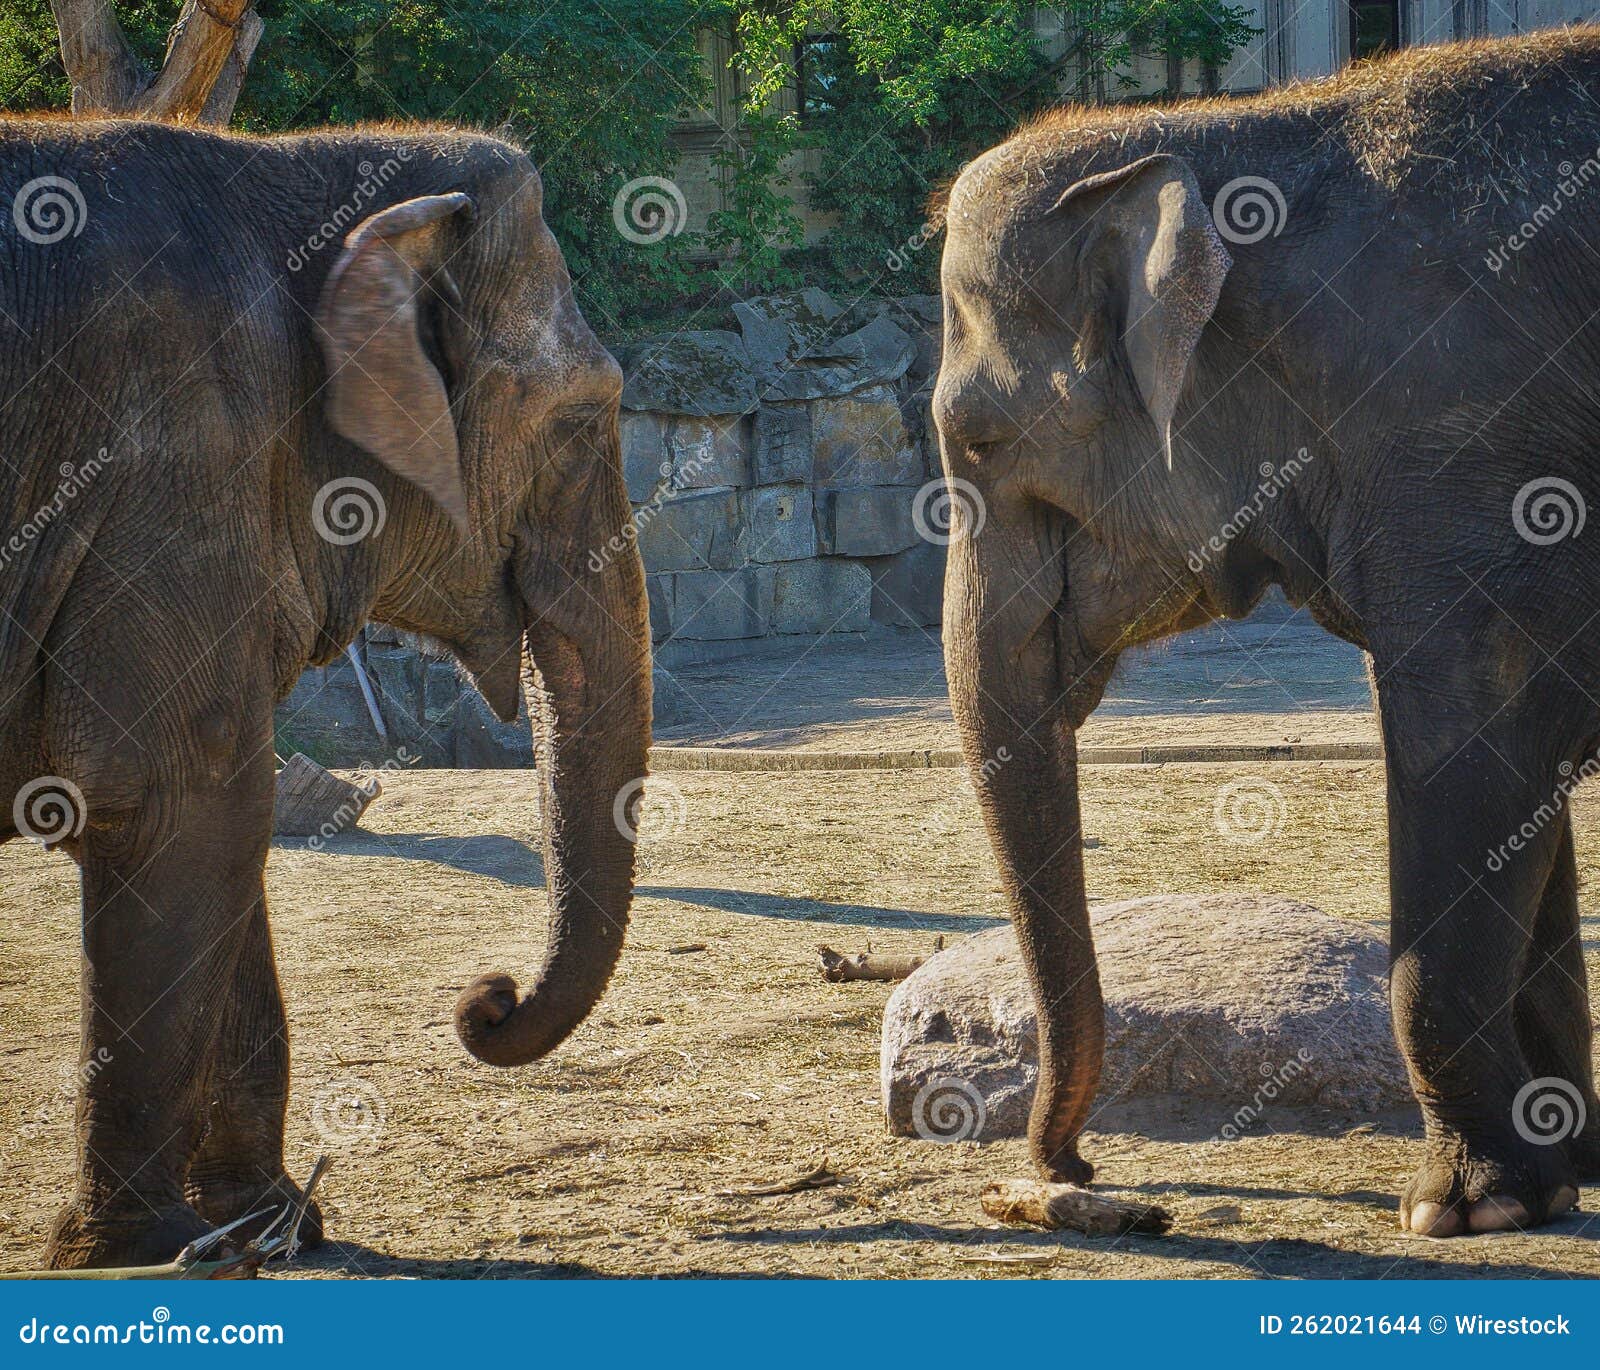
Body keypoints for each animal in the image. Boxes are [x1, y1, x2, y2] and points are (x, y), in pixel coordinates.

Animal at [0, 120, 651, 1268]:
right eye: (582, 425)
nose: (487, 999)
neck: (294, 168)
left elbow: (215, 825)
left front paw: (267, 1226)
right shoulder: (170, 471)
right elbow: (175, 801)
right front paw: (140, 1245)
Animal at [933, 28, 1600, 1238]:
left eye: (984, 441)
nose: (1068, 1177)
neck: (1235, 134)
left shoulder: (1472, 461)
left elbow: (1469, 752)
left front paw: (1462, 1210)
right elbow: (1532, 795)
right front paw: (1561, 1172)